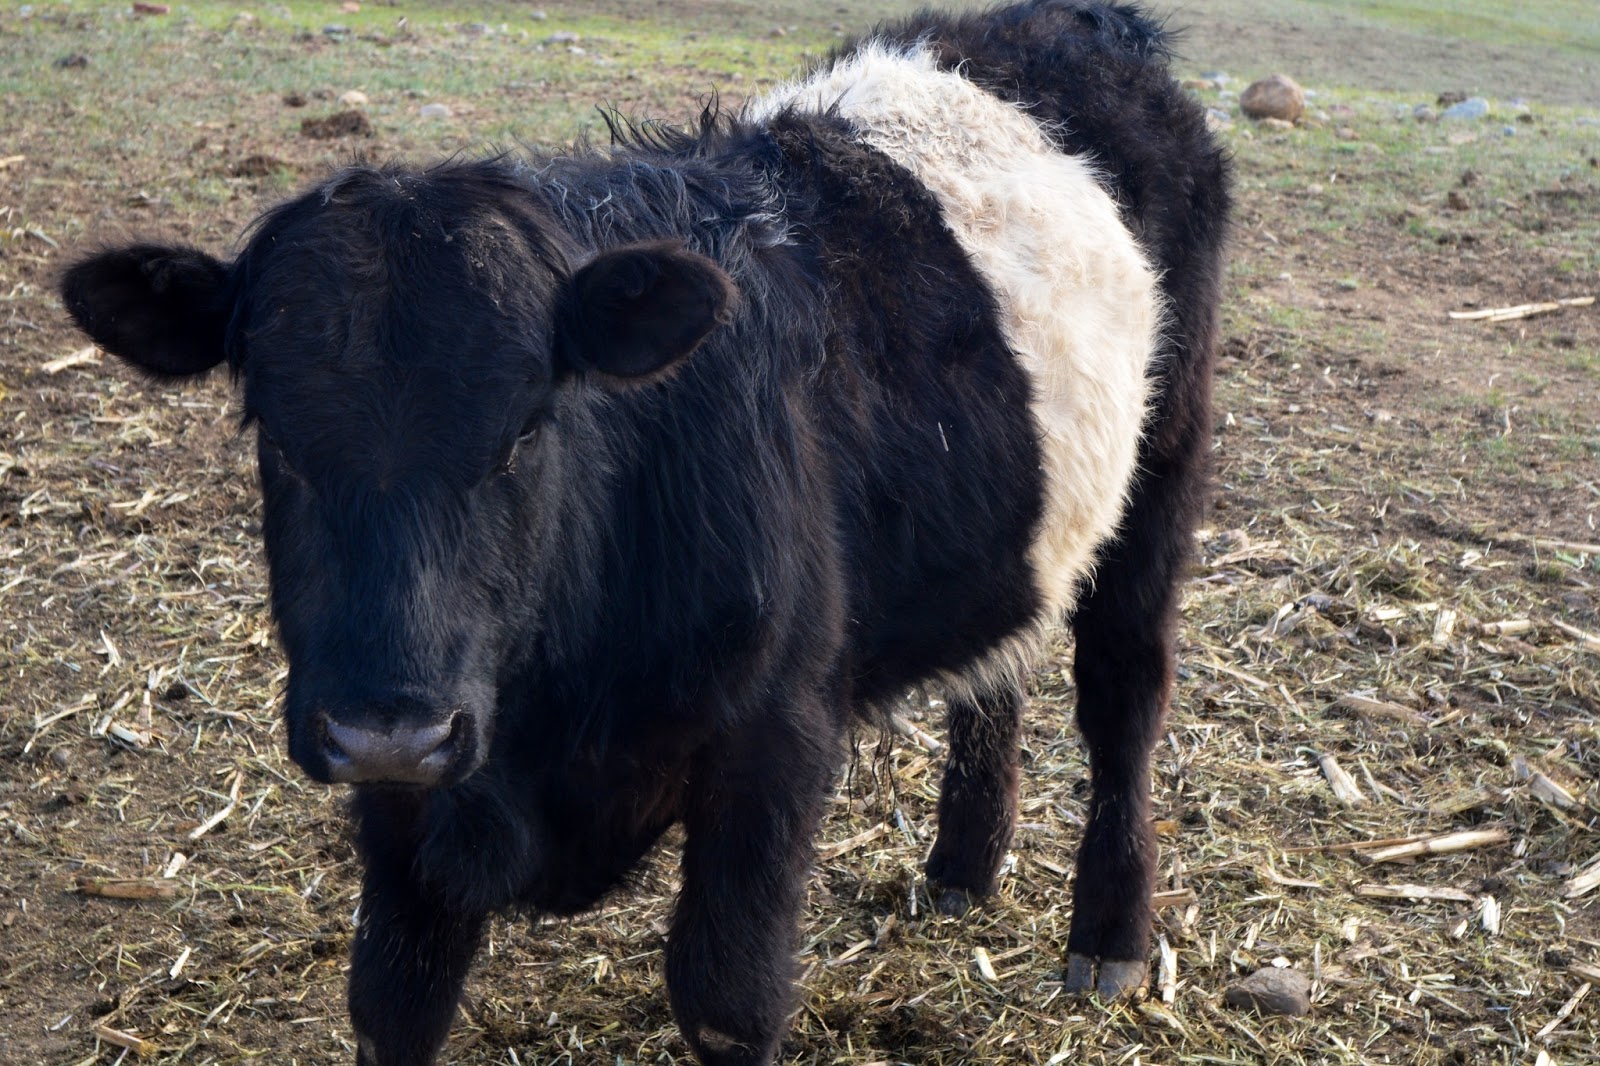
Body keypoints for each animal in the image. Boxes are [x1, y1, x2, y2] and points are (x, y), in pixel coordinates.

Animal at [58, 3, 1229, 1063]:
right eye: (277, 435)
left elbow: (725, 1000)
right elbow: (395, 1001)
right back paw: (961, 867)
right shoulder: (407, 789)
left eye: (527, 428)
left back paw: (1110, 934)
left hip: (1165, 461)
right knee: (1000, 666)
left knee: (1124, 692)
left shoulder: (773, 745)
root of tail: (1074, 26)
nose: (388, 729)